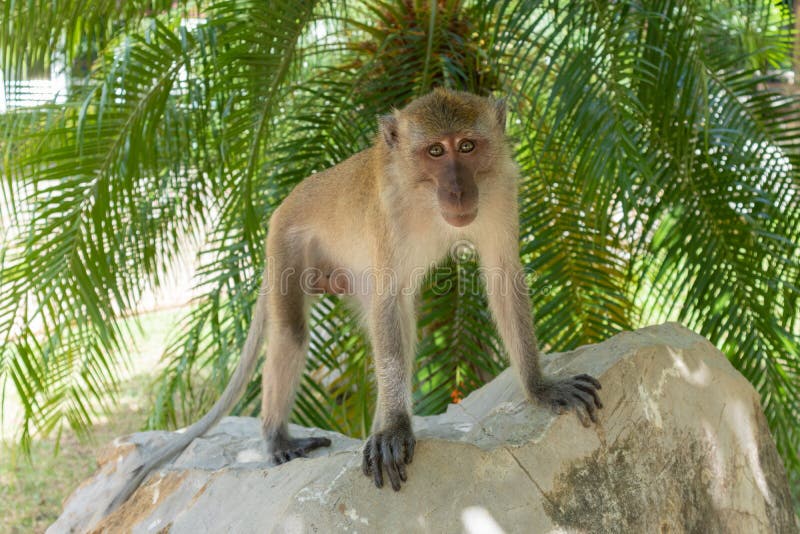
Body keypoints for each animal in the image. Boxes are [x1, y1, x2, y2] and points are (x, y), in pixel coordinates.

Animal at [107, 88, 602, 512]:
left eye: (466, 146)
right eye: (435, 152)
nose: (458, 190)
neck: (423, 195)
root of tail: (285, 202)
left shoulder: (499, 191)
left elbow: (502, 278)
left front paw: (540, 387)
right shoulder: (389, 214)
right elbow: (390, 302)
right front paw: (396, 427)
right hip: (287, 246)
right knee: (294, 332)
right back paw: (277, 438)